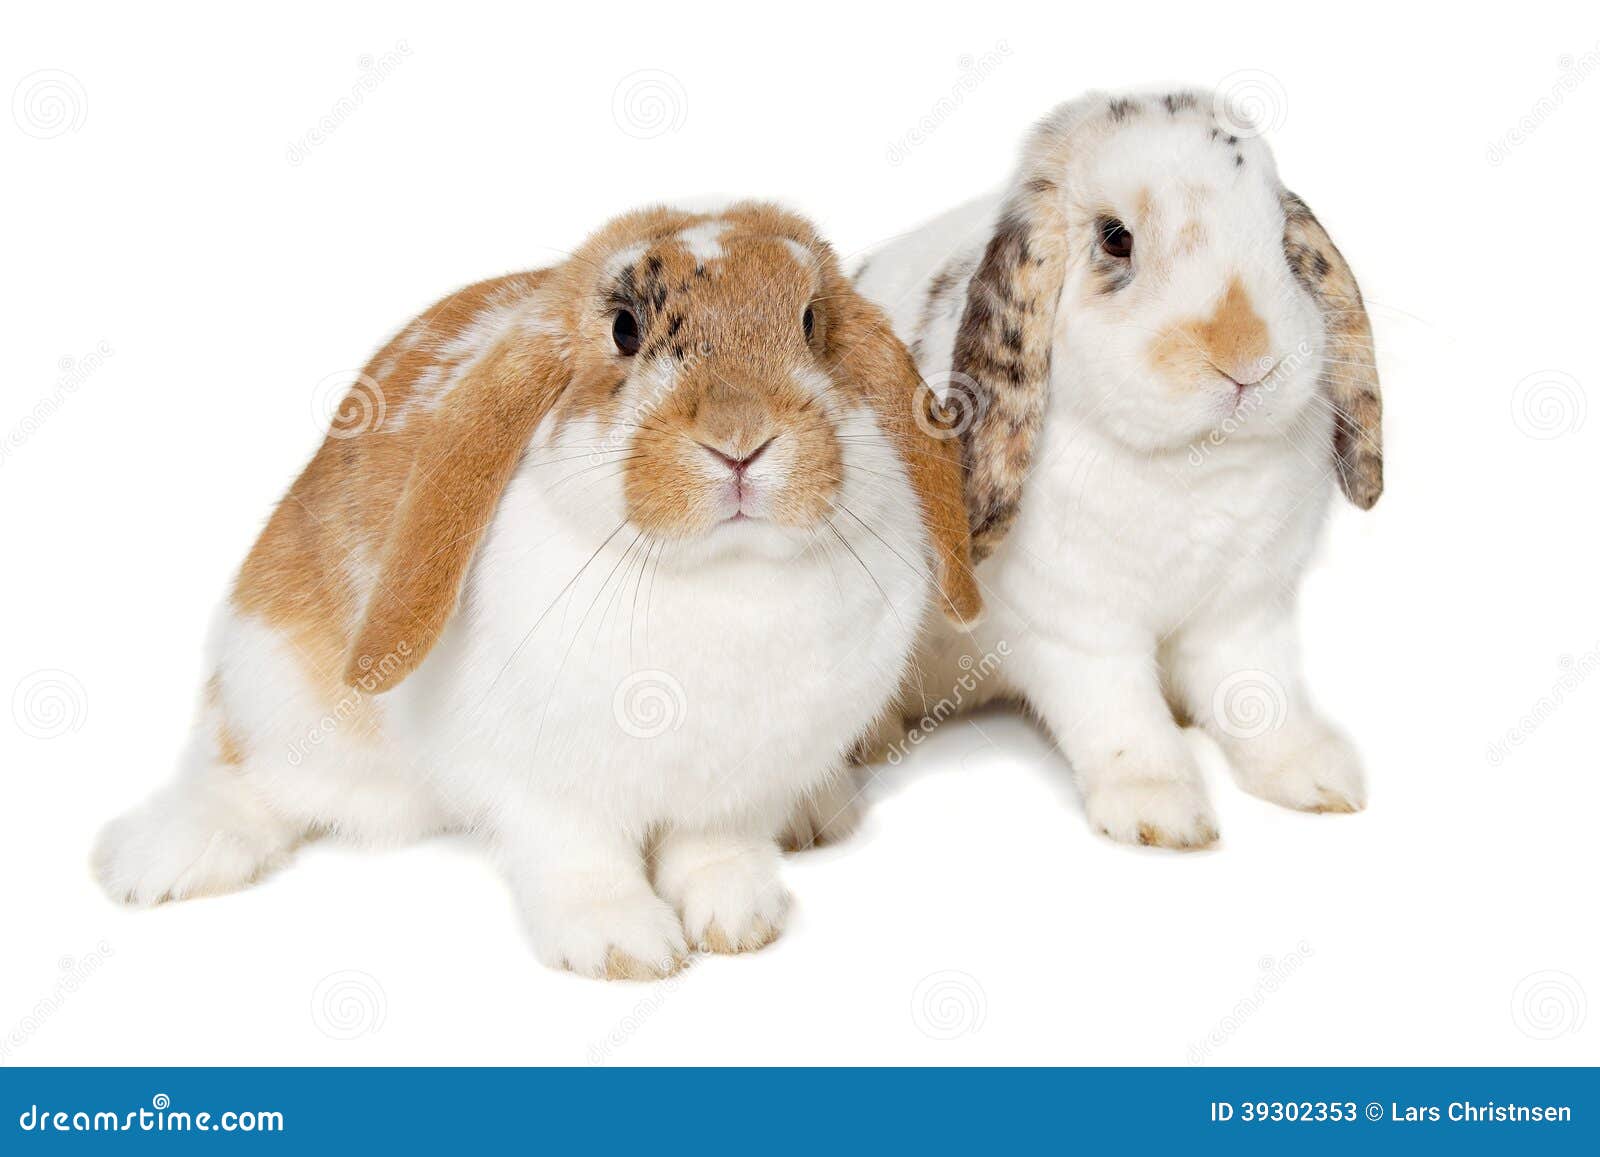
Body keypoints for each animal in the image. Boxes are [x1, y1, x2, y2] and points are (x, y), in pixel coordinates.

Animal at [93, 201, 980, 977]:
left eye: (809, 322)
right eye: (624, 330)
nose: (739, 438)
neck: (721, 576)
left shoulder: (739, 786)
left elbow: (716, 847)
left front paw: (738, 917)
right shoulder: (544, 788)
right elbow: (581, 858)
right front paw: (623, 946)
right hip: (274, 680)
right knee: (246, 775)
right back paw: (159, 862)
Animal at [841, 90, 1383, 849]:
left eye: (1280, 237)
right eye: (1115, 238)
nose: (1248, 358)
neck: (1192, 462)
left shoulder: (1244, 613)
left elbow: (1258, 693)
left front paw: (1317, 777)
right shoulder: (1079, 632)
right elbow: (1120, 717)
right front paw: (1161, 813)